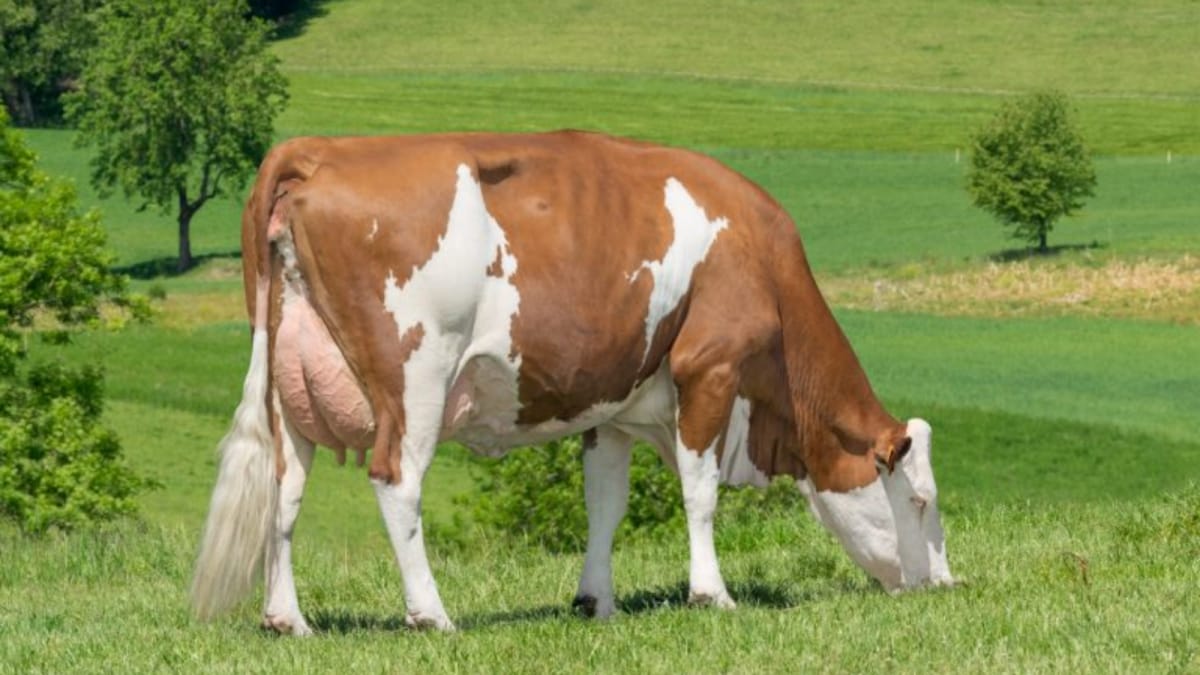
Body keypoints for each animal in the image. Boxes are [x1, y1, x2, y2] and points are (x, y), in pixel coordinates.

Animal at [191, 131, 953, 635]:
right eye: (919, 502)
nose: (945, 586)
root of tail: (317, 149)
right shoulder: (708, 369)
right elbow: (700, 493)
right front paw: (711, 594)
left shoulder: (614, 407)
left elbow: (605, 504)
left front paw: (595, 601)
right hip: (415, 376)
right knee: (396, 482)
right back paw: (431, 613)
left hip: (287, 384)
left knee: (285, 490)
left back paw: (287, 619)